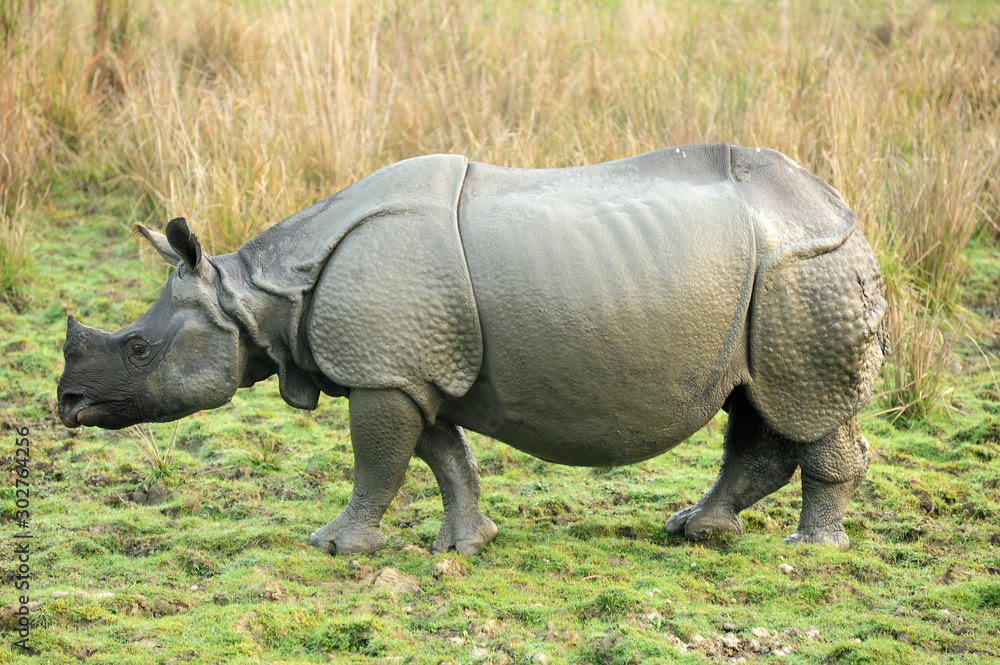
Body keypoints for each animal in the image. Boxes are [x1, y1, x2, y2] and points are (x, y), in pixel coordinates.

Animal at [57, 143, 888, 555]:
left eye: (138, 350)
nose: (66, 403)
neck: (260, 294)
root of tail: (841, 204)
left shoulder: (386, 369)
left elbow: (379, 460)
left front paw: (337, 546)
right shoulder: (409, 366)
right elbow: (441, 455)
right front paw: (467, 544)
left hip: (806, 272)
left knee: (805, 408)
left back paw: (814, 548)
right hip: (774, 282)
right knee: (756, 405)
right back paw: (696, 529)